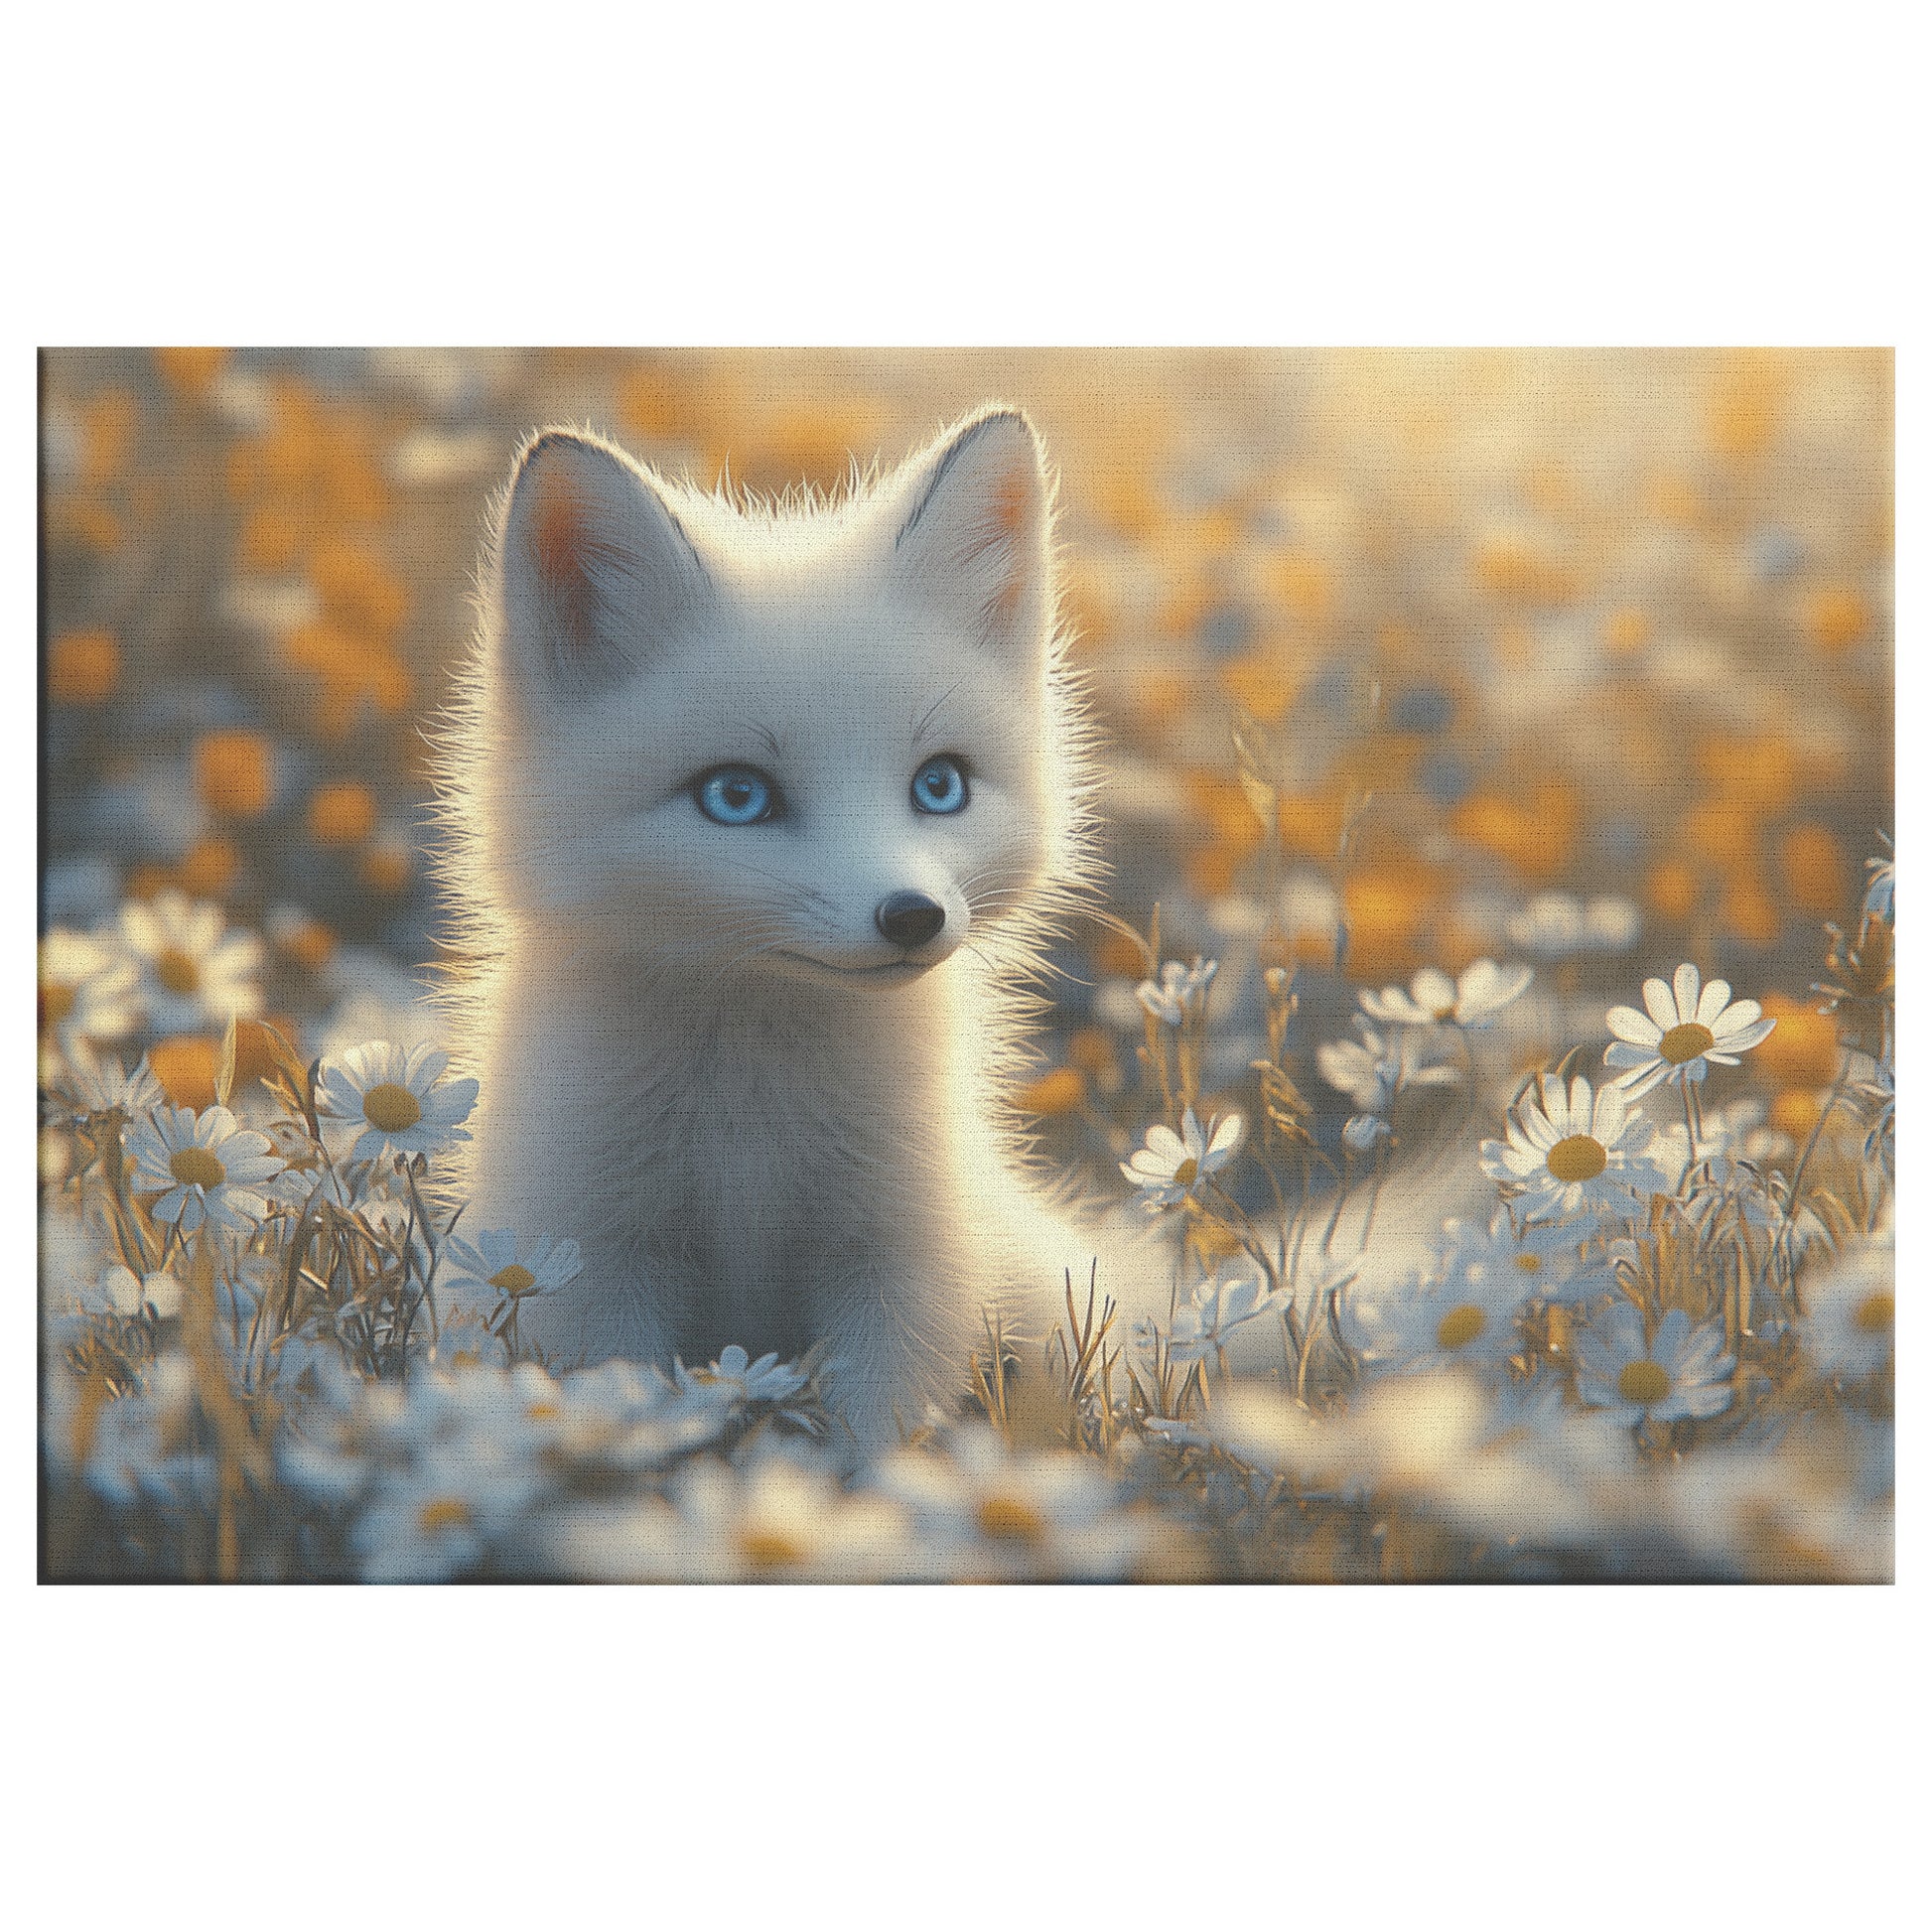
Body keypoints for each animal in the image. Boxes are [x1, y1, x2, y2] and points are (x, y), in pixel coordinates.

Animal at [435, 405, 1132, 1445]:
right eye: (737, 796)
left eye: (940, 785)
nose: (913, 917)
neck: (751, 1130)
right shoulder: (594, 1266)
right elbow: (632, 1418)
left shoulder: (898, 1266)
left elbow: (878, 1445)